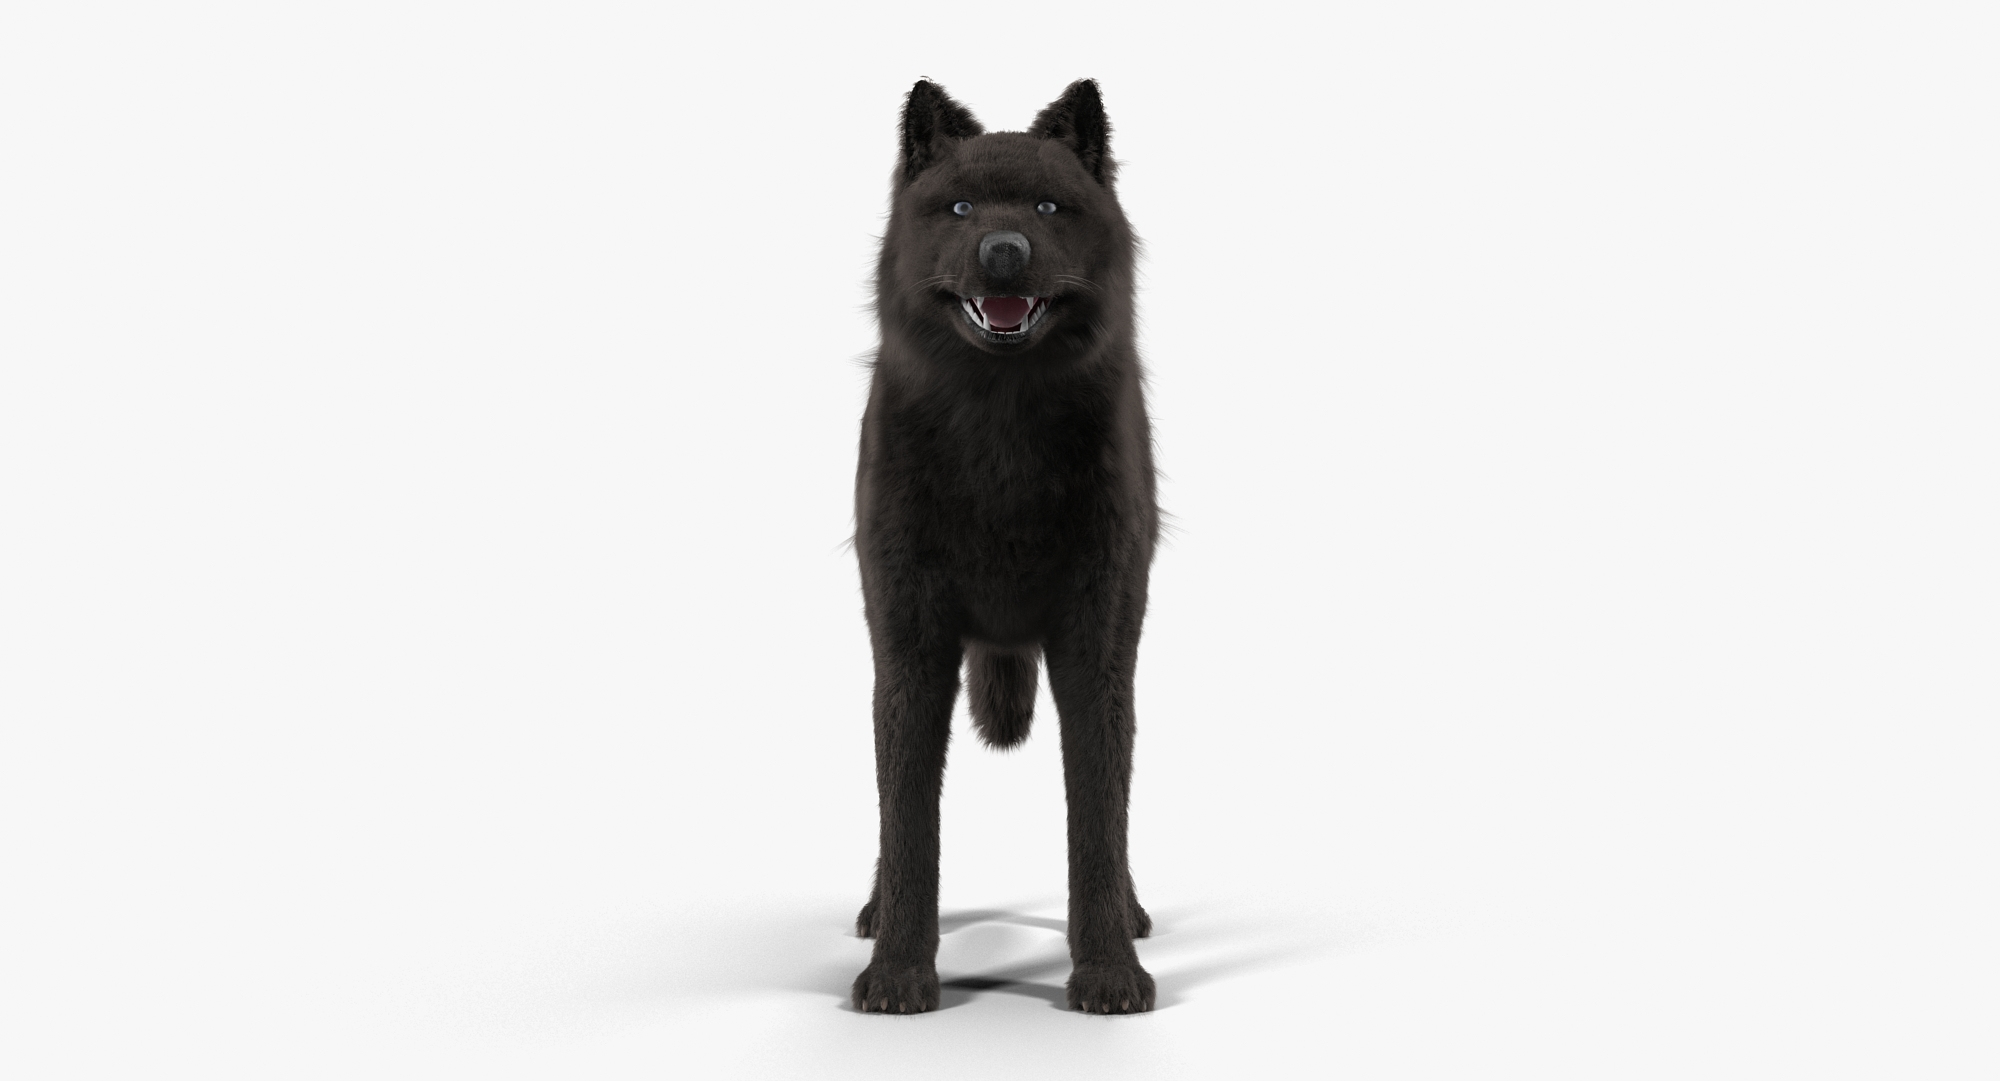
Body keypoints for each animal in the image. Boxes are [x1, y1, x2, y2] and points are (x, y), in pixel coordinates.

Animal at [850, 79, 1159, 1015]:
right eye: (958, 208)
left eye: (1049, 208)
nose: (1003, 252)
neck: (1001, 433)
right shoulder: (909, 650)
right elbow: (908, 819)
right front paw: (898, 976)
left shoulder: (1097, 650)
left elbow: (1098, 816)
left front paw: (1110, 974)